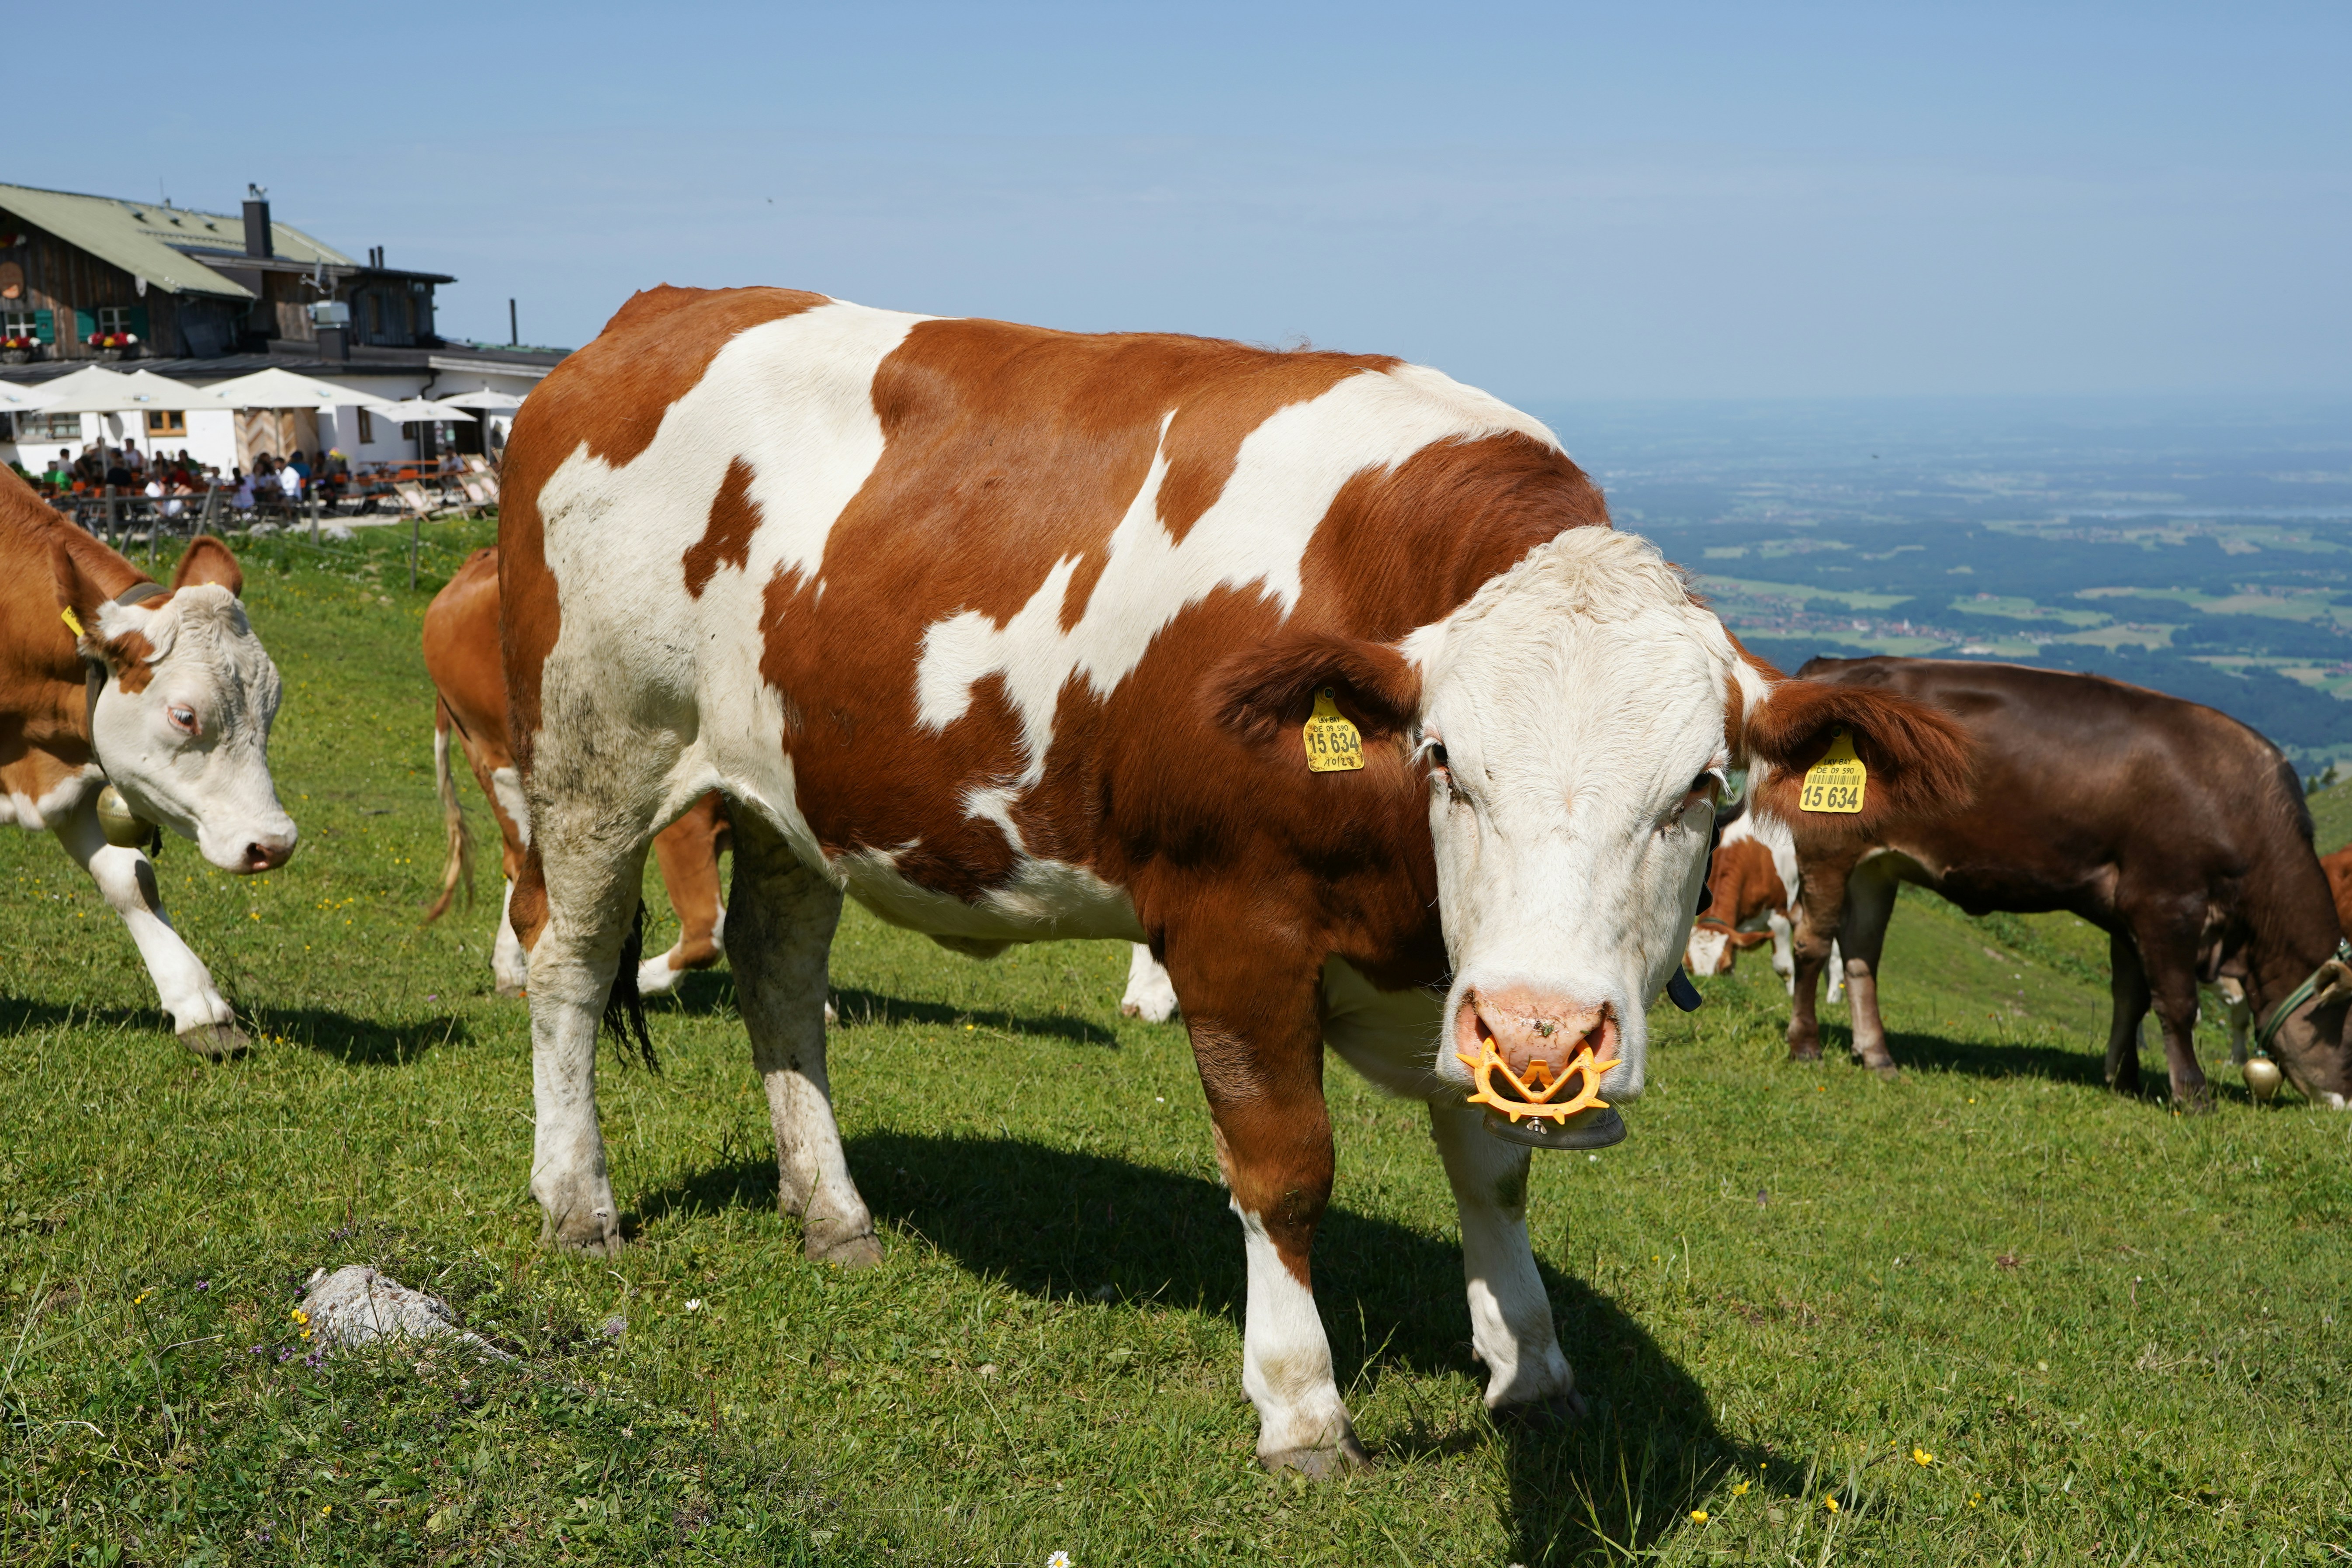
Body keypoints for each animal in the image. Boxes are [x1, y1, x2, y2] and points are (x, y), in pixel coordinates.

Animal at [421, 545, 731, 998]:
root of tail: (476, 562)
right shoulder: (687, 826)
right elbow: (707, 931)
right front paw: (639, 977)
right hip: (493, 753)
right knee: (521, 859)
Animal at [494, 285, 1968, 1472]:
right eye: (1448, 761)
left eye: (1702, 787)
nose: (1553, 1030)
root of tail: (646, 317)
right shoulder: (1232, 924)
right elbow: (1283, 1164)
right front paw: (1303, 1406)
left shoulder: (1472, 978)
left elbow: (1494, 1170)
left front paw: (1531, 1366)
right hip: (593, 746)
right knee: (568, 957)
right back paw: (577, 1199)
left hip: (794, 793)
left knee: (779, 973)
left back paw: (833, 1210)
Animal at [1784, 656, 2352, 1110]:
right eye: (2348, 1028)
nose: (2343, 1101)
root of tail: (1830, 669)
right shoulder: (2167, 902)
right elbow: (2176, 1003)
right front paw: (2193, 1096)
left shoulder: (2128, 910)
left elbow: (2131, 996)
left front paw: (2124, 1079)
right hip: (1827, 849)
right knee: (1813, 943)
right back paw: (1805, 1046)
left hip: (1874, 866)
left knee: (1861, 953)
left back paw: (1877, 1056)